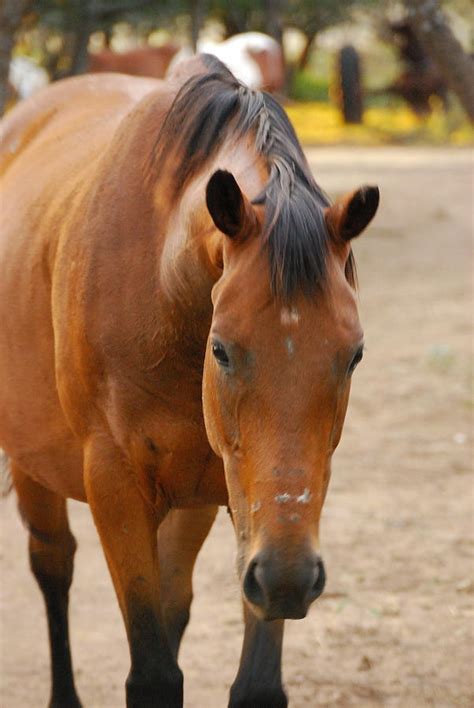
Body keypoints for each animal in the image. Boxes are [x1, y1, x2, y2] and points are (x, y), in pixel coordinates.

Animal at [0, 55, 379, 707]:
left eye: (353, 354)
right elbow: (153, 674)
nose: (290, 577)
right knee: (53, 566)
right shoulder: (115, 486)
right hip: (33, 462)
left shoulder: (254, 514)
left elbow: (253, 680)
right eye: (221, 349)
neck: (162, 284)